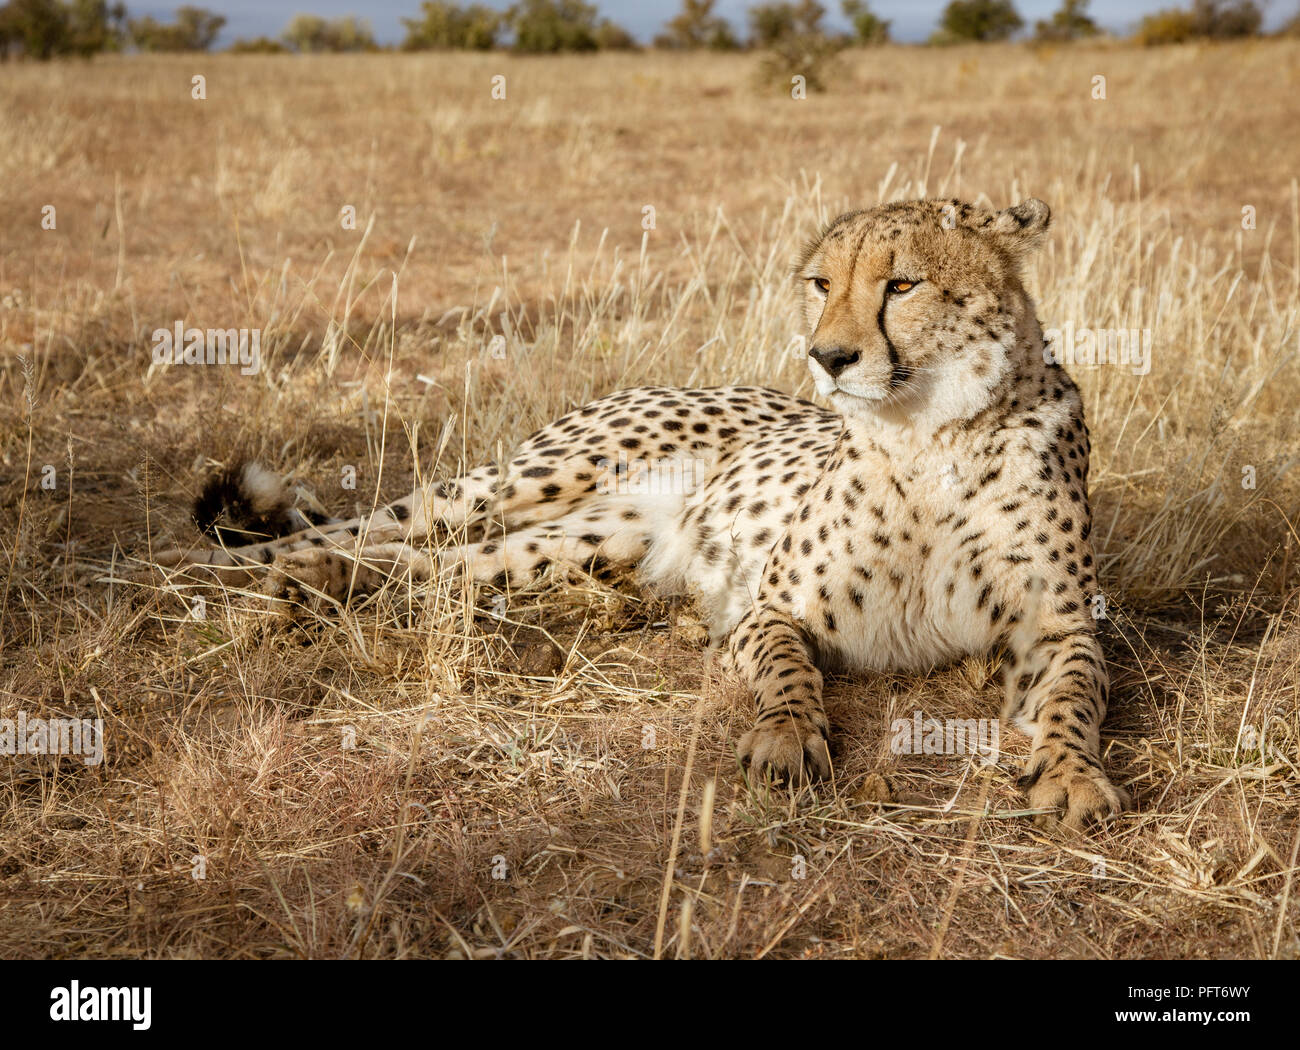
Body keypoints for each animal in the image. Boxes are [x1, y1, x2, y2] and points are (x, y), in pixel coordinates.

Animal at [152, 196, 1129, 831]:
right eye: (822, 283)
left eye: (903, 286)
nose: (828, 357)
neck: (929, 435)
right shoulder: (769, 609)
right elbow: (788, 672)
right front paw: (784, 739)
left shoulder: (1057, 626)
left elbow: (1077, 694)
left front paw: (1074, 775)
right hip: (532, 476)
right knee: (374, 524)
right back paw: (220, 575)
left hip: (579, 541)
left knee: (432, 569)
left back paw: (317, 585)